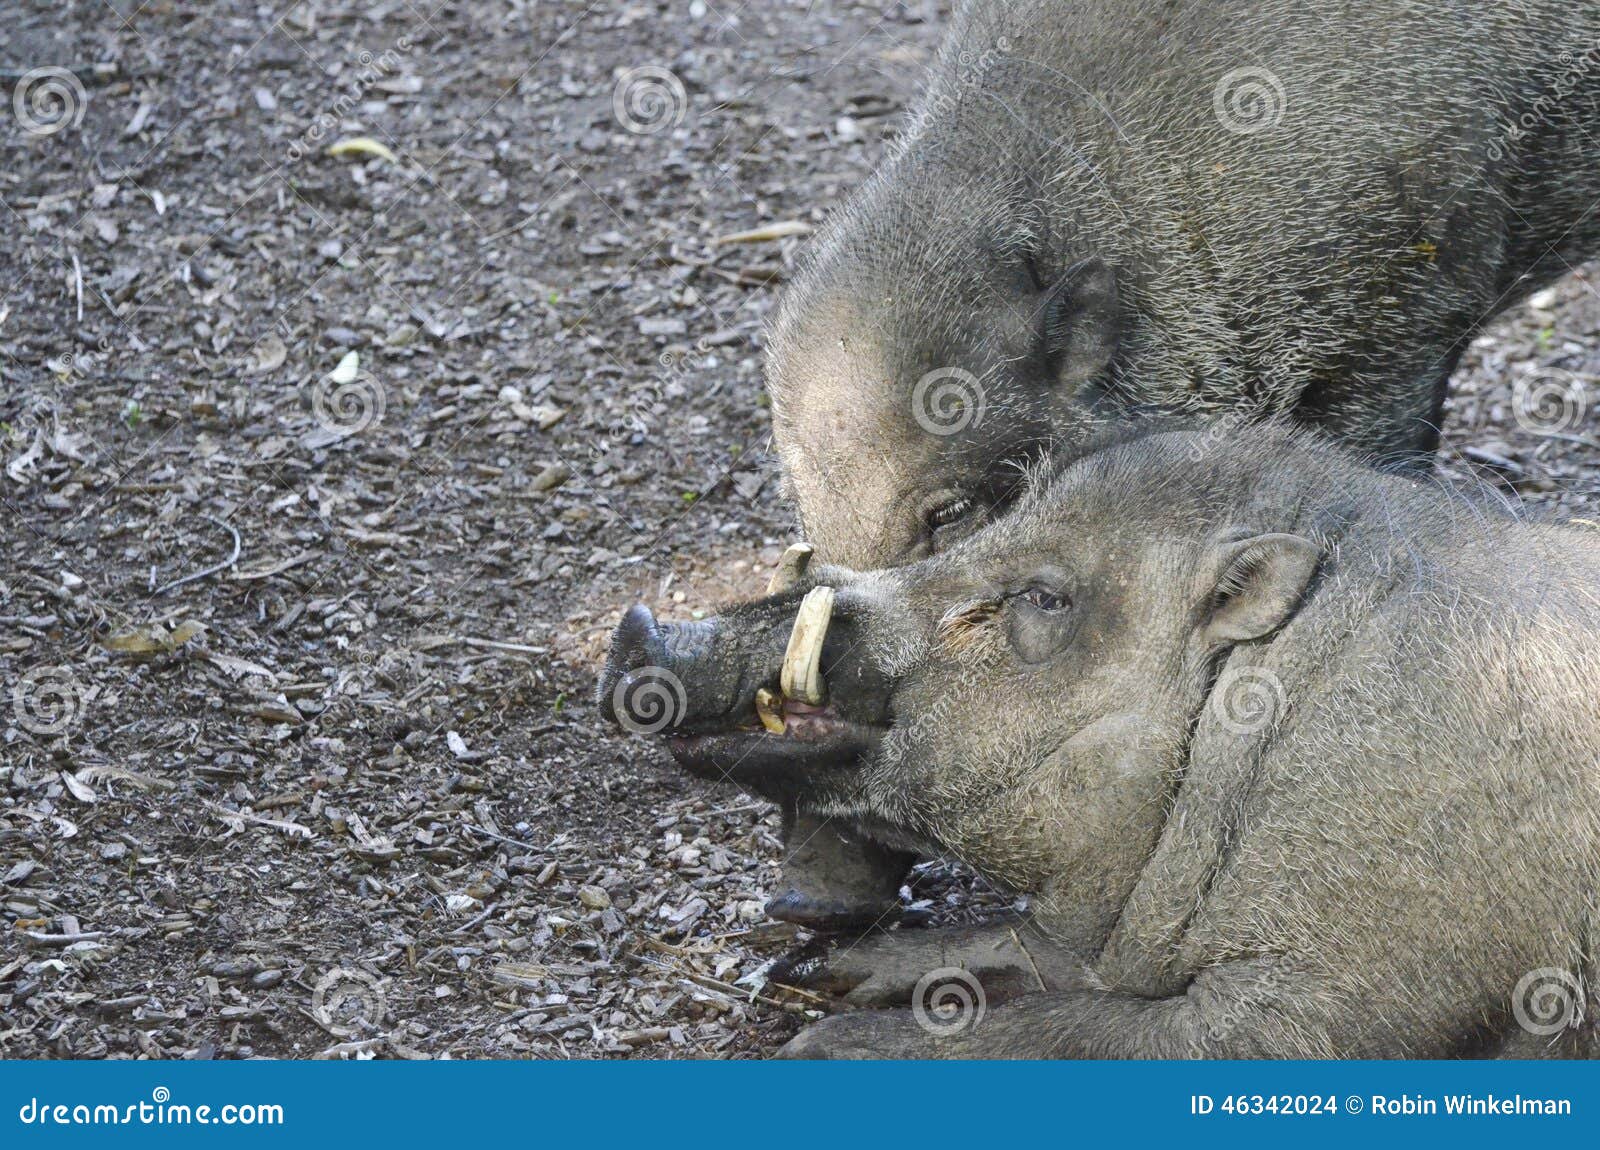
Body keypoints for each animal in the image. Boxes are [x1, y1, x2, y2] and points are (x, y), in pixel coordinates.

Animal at [601, 422, 1600, 1057]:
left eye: (1045, 598)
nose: (636, 630)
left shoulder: (1333, 1006)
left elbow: (1061, 1031)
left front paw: (815, 1040)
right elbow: (1026, 946)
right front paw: (817, 971)